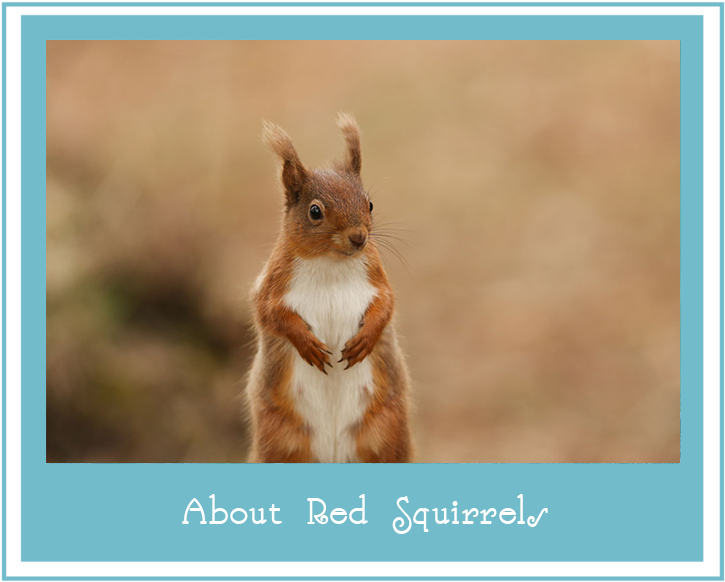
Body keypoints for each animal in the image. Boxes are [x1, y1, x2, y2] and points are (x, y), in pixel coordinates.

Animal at [244, 113, 412, 463]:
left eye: (370, 204)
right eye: (315, 211)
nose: (359, 237)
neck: (330, 263)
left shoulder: (376, 274)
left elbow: (387, 305)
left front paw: (365, 340)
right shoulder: (271, 284)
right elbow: (270, 314)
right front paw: (306, 343)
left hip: (386, 430)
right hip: (280, 438)